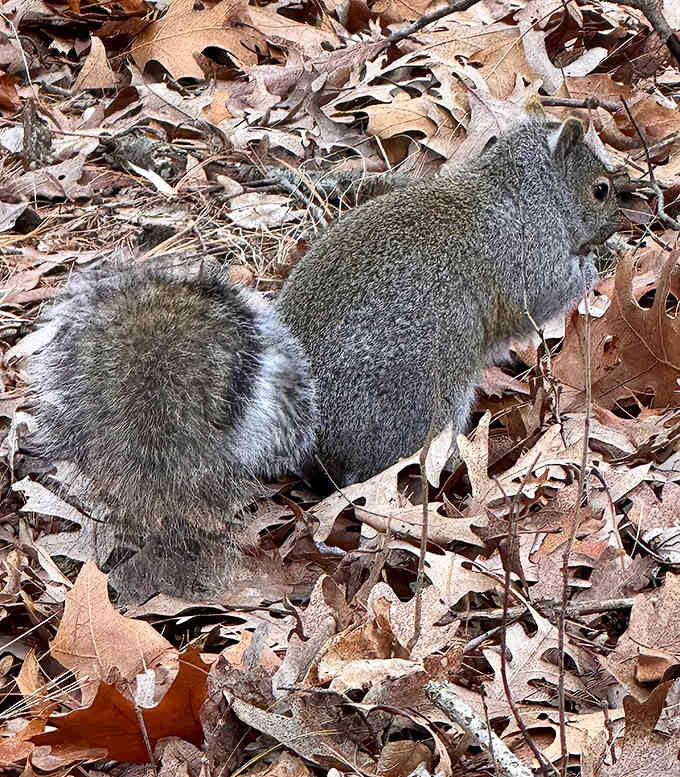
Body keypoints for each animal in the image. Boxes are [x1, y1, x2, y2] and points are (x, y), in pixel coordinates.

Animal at [25, 107, 621, 601]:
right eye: (600, 189)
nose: (625, 218)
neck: (522, 191)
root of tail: (296, 431)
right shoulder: (526, 259)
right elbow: (541, 297)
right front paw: (596, 265)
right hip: (423, 401)